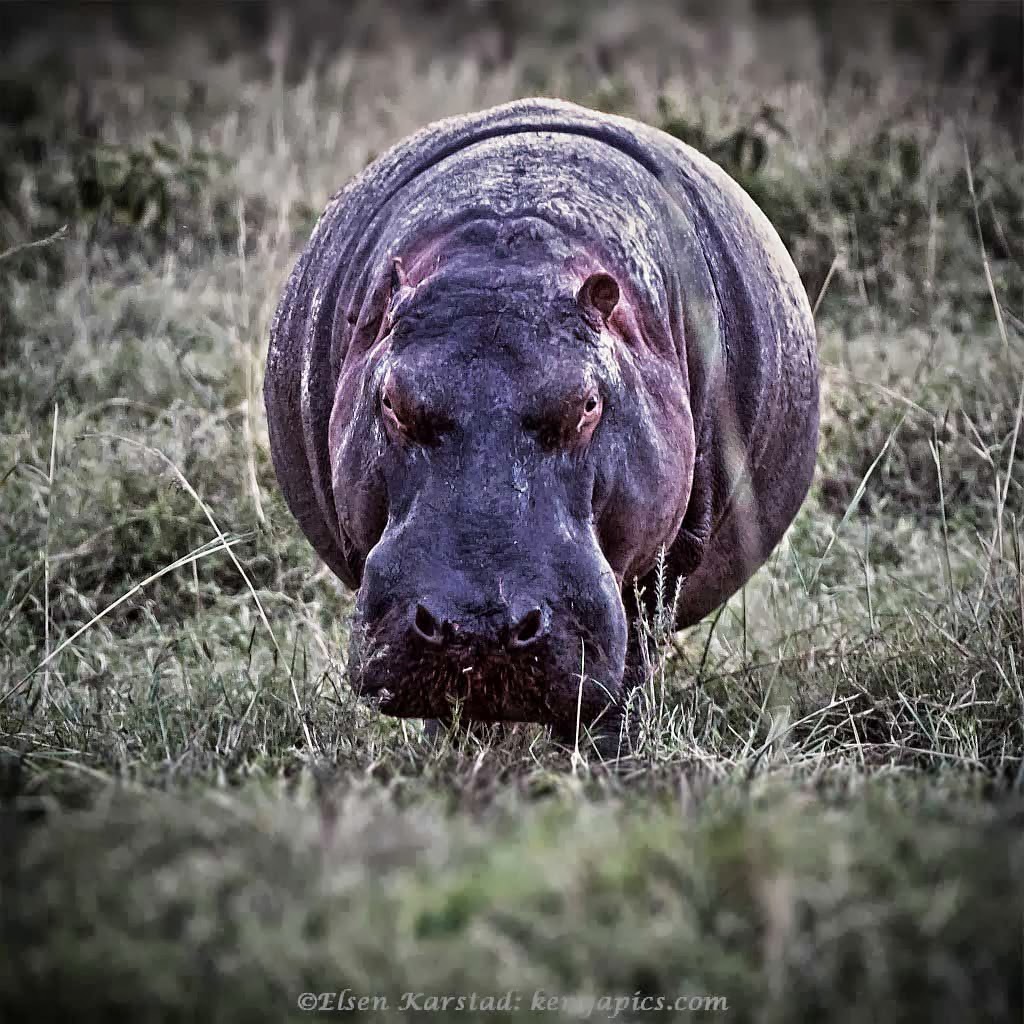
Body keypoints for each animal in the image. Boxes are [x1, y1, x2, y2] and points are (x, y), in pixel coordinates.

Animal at [264, 97, 818, 746]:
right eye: (392, 402)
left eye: (588, 405)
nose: (478, 626)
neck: (508, 251)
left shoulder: (667, 555)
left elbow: (632, 654)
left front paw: (602, 748)